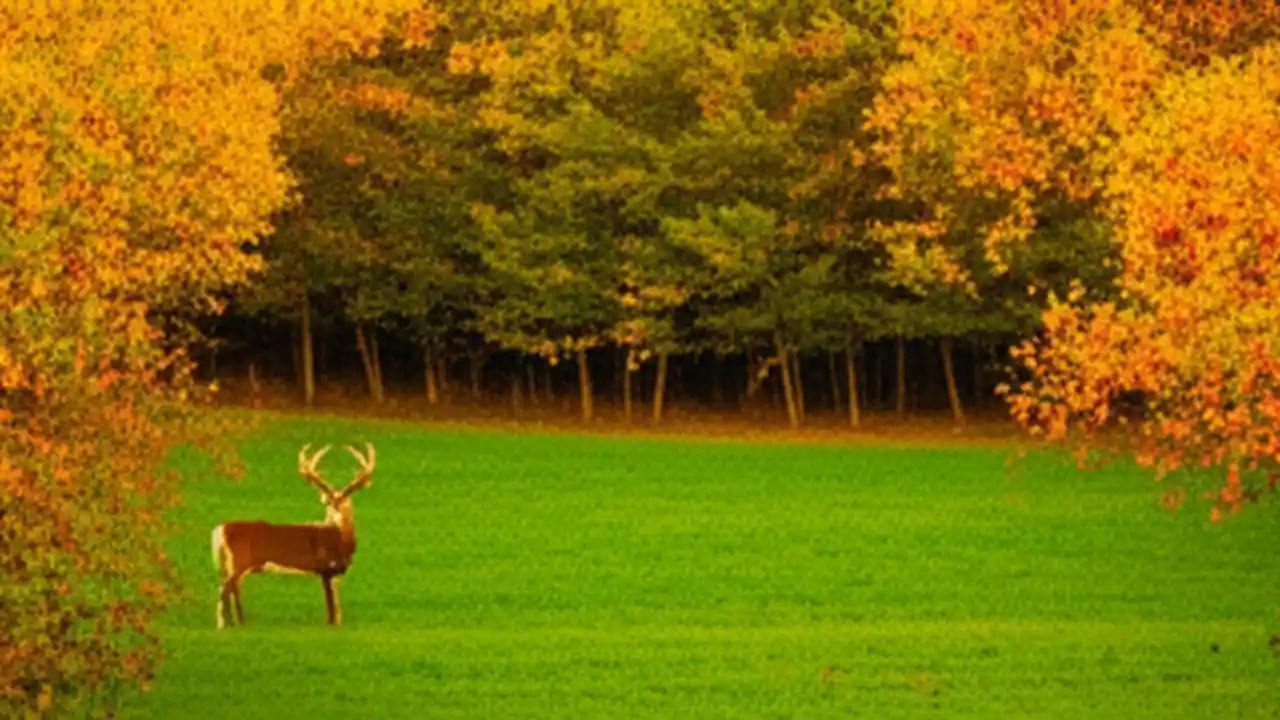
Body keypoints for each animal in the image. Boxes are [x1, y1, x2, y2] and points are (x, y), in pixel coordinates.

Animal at [210, 443, 375, 629]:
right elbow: (330, 604)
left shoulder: (332, 572)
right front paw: (330, 624)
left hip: (233, 563)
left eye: (345, 503)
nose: (333, 517)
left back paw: (238, 623)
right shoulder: (325, 568)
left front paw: (336, 624)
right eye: (329, 504)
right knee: (224, 589)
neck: (341, 542)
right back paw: (224, 625)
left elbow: (335, 603)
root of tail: (221, 529)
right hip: (240, 560)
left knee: (231, 588)